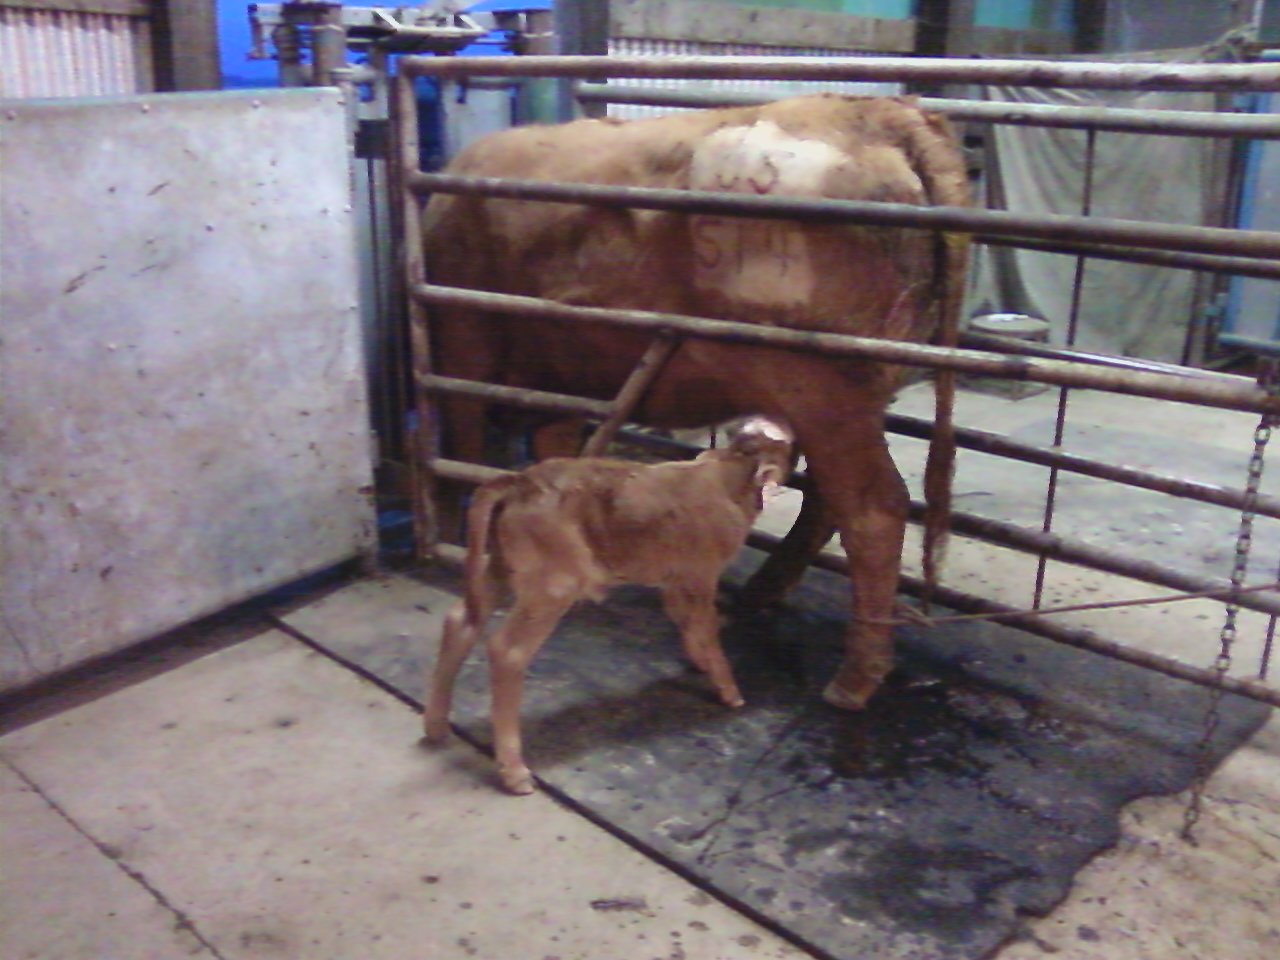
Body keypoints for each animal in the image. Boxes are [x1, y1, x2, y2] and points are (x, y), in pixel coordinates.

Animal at [422, 93, 971, 714]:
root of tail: (889, 114)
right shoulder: (561, 364)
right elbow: (552, 442)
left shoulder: (460, 332)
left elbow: (463, 435)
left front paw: (453, 536)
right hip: (854, 389)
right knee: (831, 499)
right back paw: (758, 595)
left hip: (821, 382)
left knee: (874, 506)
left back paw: (852, 681)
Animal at [423, 416, 796, 794]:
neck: (729, 473)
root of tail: (523, 481)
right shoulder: (702, 574)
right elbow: (707, 627)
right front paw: (730, 691)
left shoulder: (676, 578)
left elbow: (686, 621)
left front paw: (699, 661)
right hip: (554, 584)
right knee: (507, 650)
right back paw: (514, 772)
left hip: (500, 566)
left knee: (460, 620)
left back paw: (436, 726)